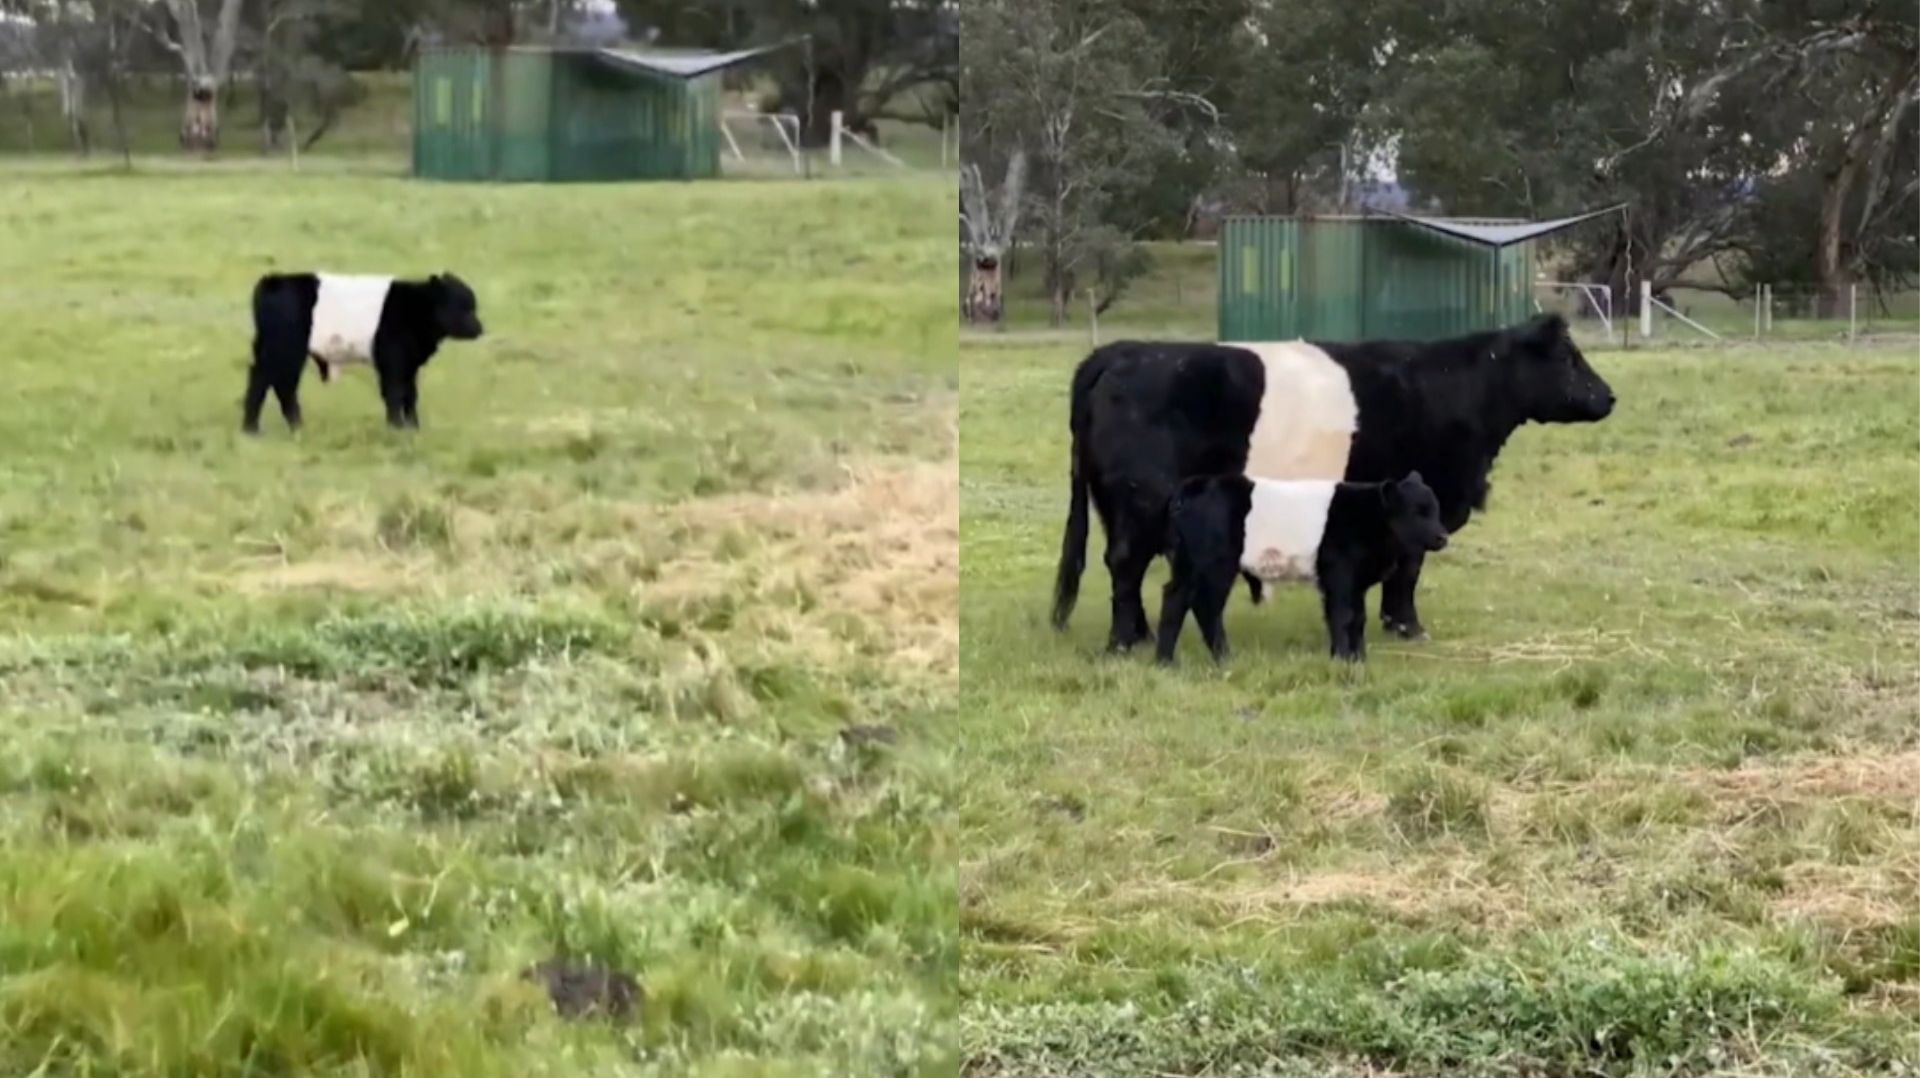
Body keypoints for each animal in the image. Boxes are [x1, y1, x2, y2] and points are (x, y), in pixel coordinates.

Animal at [244, 271, 484, 434]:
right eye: (461, 306)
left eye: (473, 305)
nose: (479, 329)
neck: (415, 308)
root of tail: (274, 280)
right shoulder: (393, 361)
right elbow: (394, 393)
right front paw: (396, 428)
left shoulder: (409, 364)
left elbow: (411, 395)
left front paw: (413, 429)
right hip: (287, 349)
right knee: (277, 384)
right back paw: (283, 427)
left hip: (270, 348)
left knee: (267, 381)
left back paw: (262, 428)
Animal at [1157, 471, 1450, 664]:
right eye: (1416, 512)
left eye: (1436, 510)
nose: (1442, 536)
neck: (1371, 517)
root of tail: (1192, 486)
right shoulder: (1339, 574)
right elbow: (1343, 616)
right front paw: (1343, 659)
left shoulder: (1355, 582)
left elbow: (1358, 617)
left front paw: (1358, 659)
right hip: (1216, 563)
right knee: (1206, 605)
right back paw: (1225, 658)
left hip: (1187, 561)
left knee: (1175, 597)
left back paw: (1165, 661)